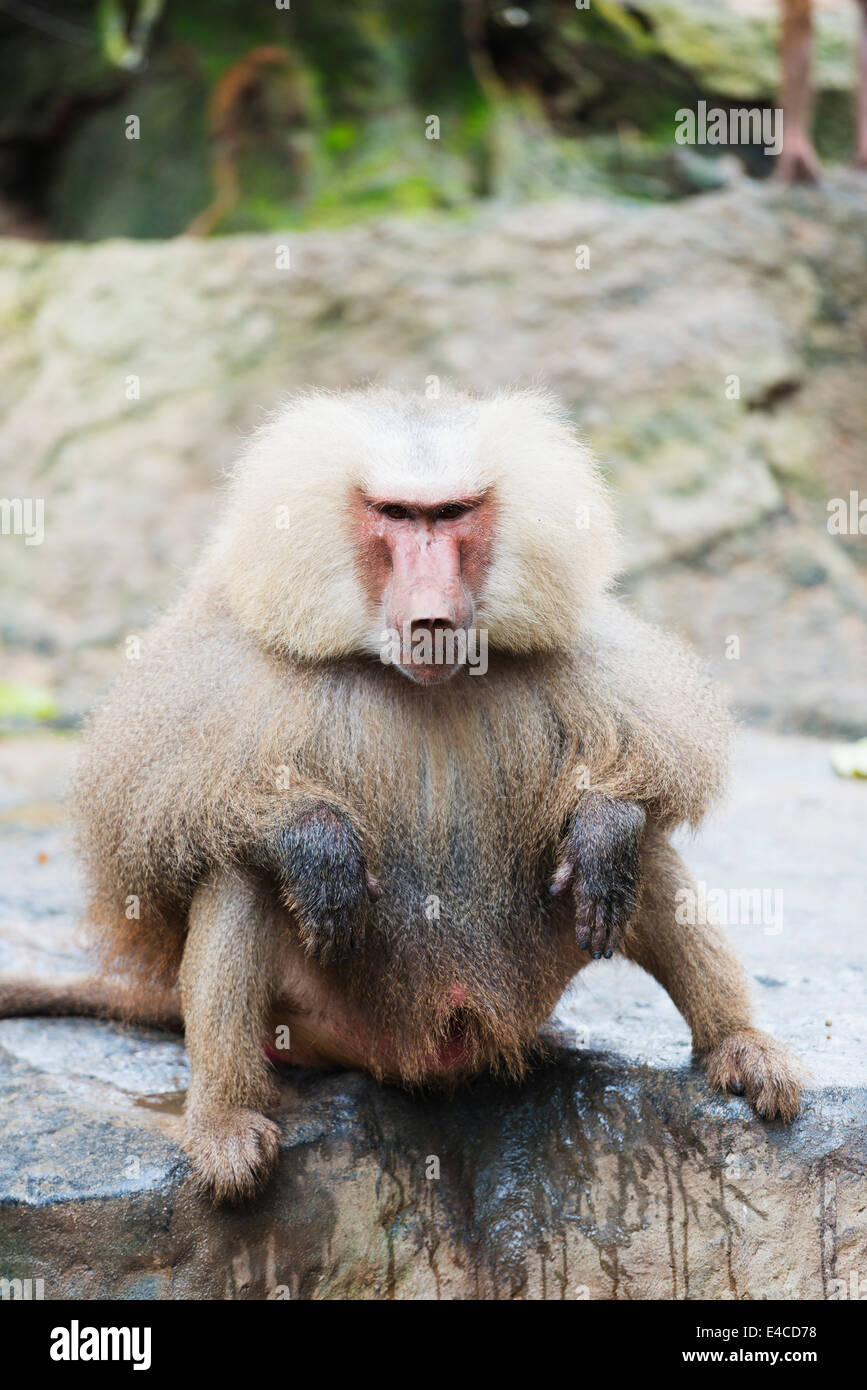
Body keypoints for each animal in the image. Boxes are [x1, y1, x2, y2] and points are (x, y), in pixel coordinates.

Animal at [0, 387, 802, 1204]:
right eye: (393, 513)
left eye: (450, 514)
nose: (431, 611)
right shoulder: (219, 663)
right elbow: (150, 820)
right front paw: (316, 843)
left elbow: (647, 776)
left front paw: (603, 826)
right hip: (322, 1023)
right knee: (240, 872)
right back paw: (223, 1123)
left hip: (524, 991)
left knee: (646, 857)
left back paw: (738, 1047)